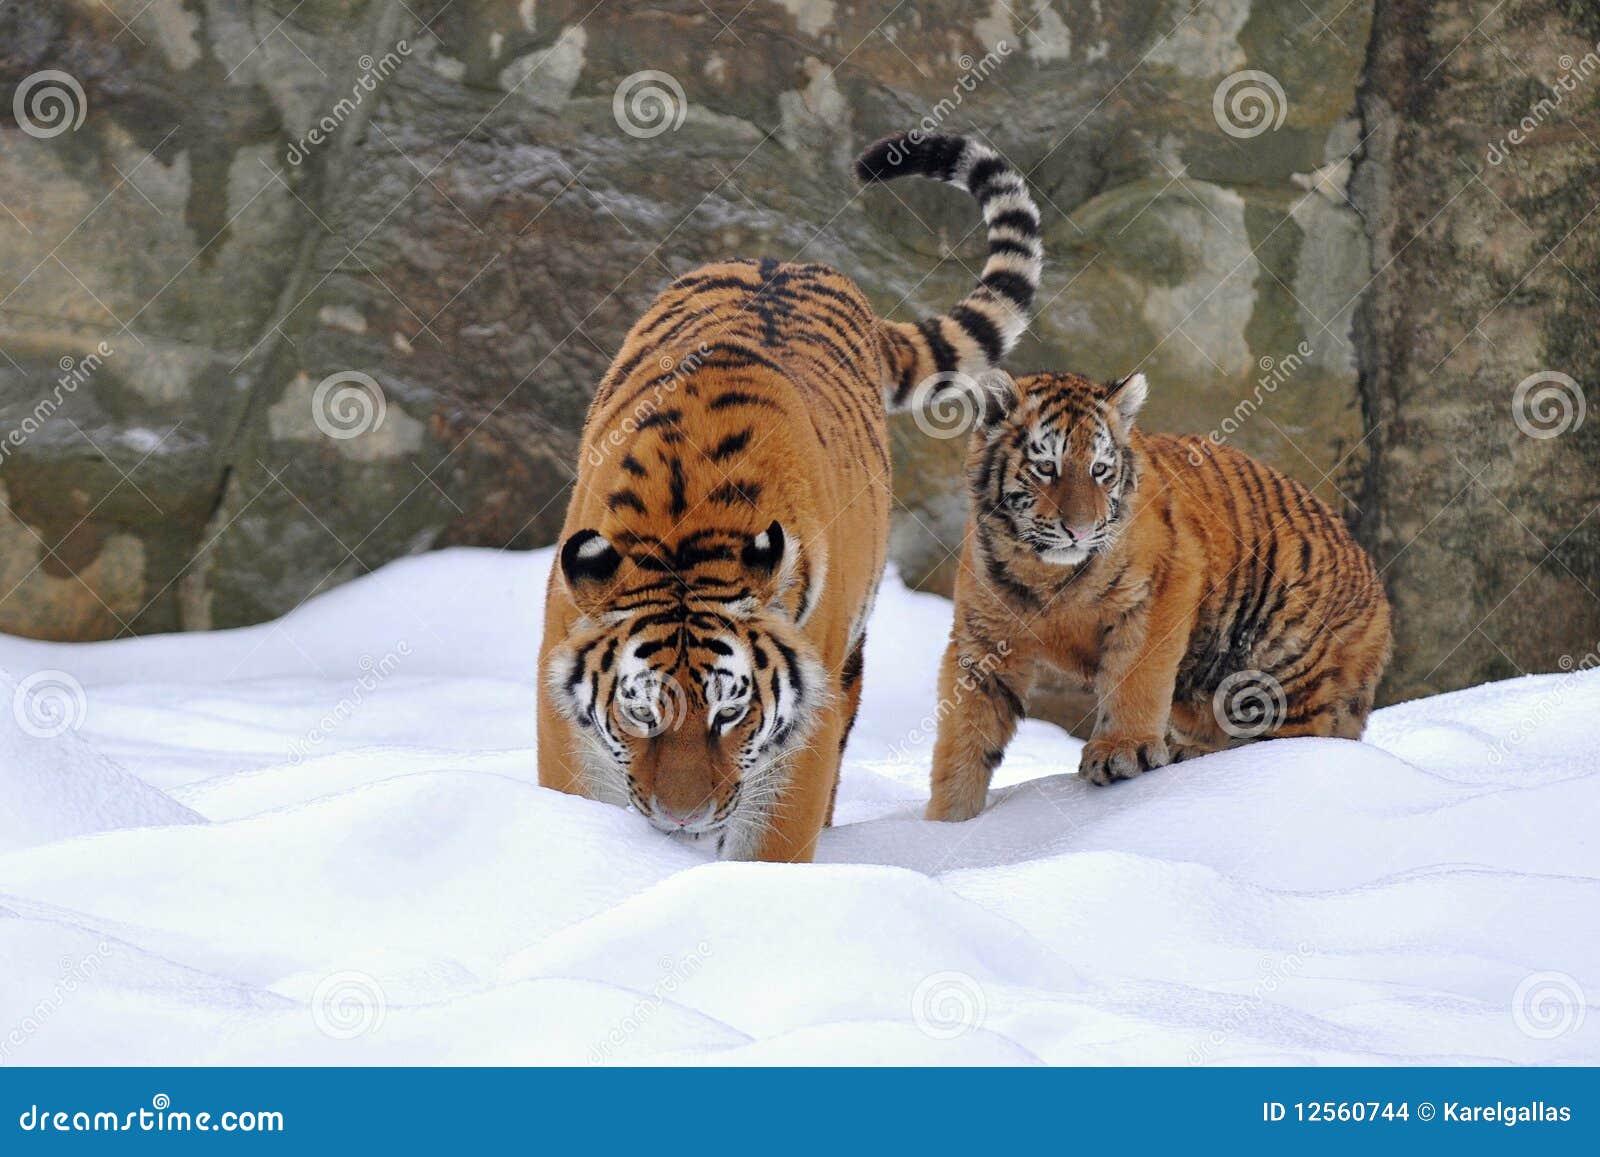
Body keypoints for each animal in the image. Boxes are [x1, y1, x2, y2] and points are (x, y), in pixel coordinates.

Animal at [538, 132, 1045, 862]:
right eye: (641, 712)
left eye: (730, 712)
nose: (682, 818)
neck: (686, 528)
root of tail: (788, 261)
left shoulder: (808, 716)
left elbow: (772, 838)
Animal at [925, 368, 1393, 821]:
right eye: (1045, 468)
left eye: (1099, 470)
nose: (1079, 530)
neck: (1045, 572)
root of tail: (1379, 592)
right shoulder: (982, 639)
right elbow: (965, 733)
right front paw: (947, 822)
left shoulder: (1162, 588)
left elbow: (1136, 675)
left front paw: (1121, 752)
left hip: (1281, 664)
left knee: (1294, 739)